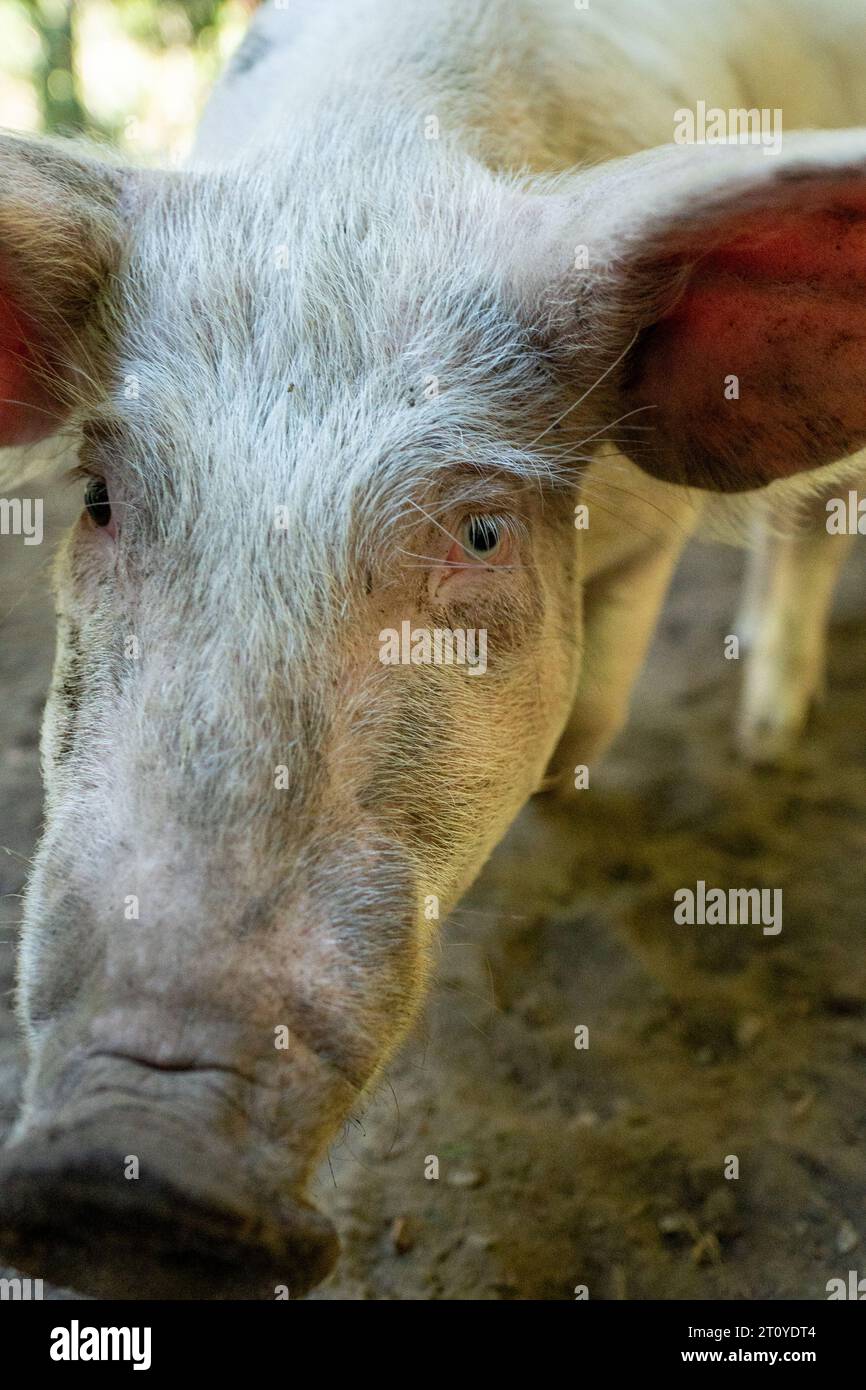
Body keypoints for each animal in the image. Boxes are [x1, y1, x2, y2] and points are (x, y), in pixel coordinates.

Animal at [2, 0, 866, 1298]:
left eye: (481, 531)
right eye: (98, 497)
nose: (125, 1172)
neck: (361, 153)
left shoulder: (647, 542)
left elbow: (591, 715)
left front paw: (565, 792)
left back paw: (765, 741)